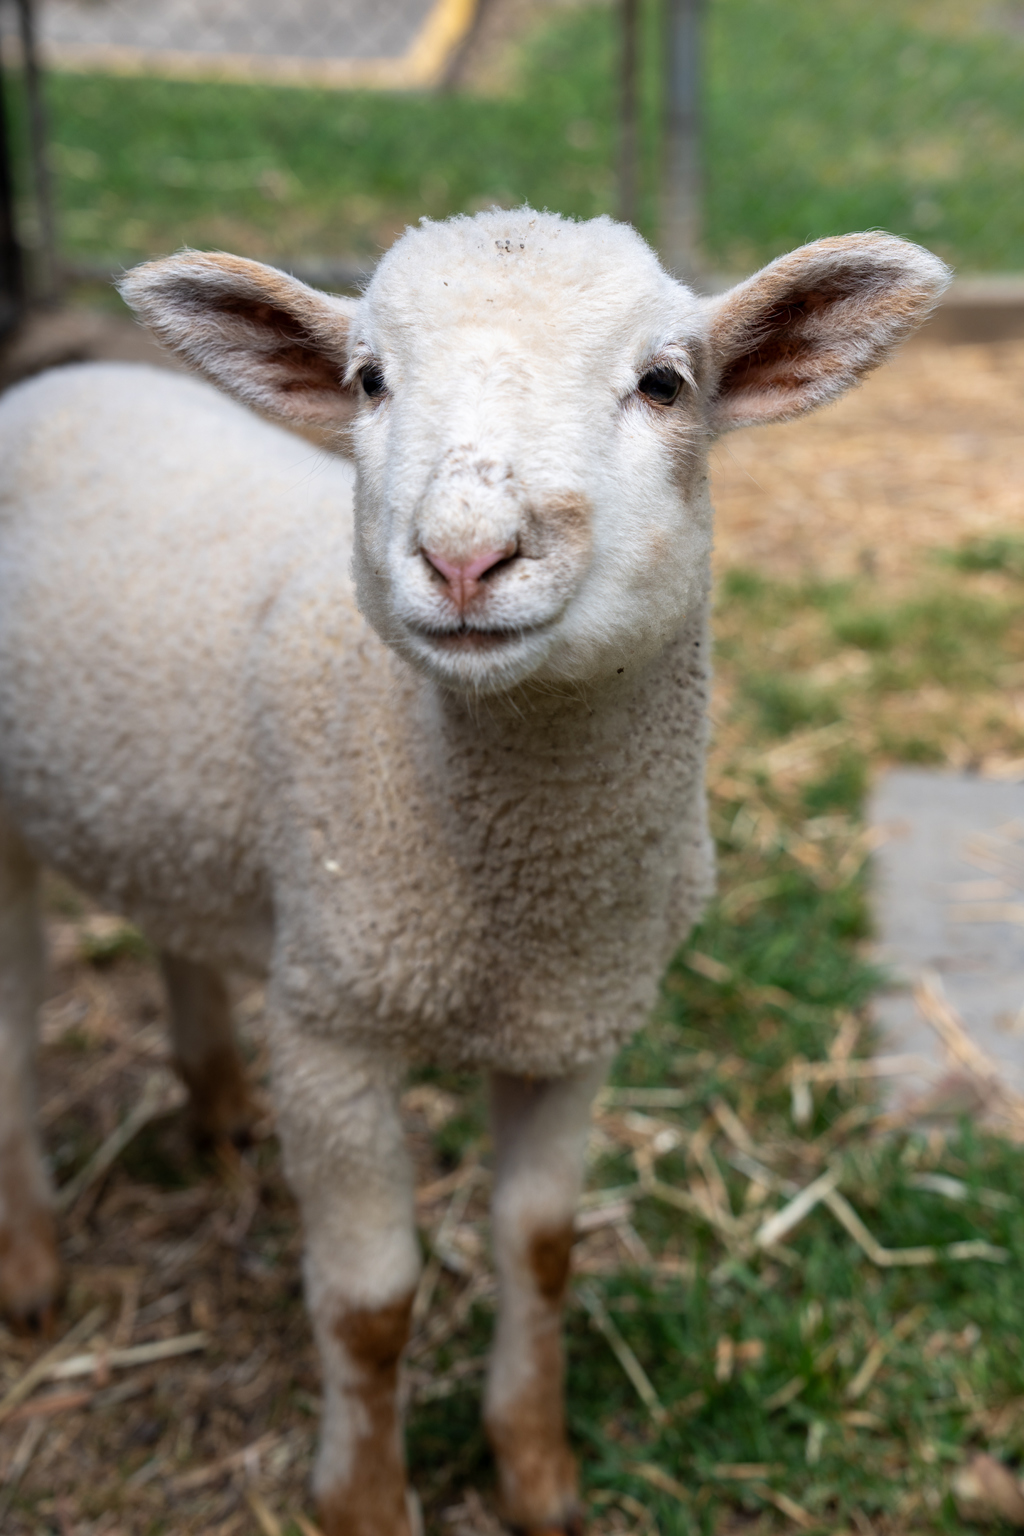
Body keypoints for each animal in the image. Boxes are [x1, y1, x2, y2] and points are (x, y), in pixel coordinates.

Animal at [0, 209, 948, 1534]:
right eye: (366, 380)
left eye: (666, 383)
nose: (460, 557)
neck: (514, 893)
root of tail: (53, 385)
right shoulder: (332, 1026)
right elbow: (369, 1308)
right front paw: (363, 1499)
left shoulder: (576, 1025)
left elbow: (541, 1254)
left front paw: (535, 1471)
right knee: (11, 1038)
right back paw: (31, 1266)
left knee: (173, 928)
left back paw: (217, 1109)